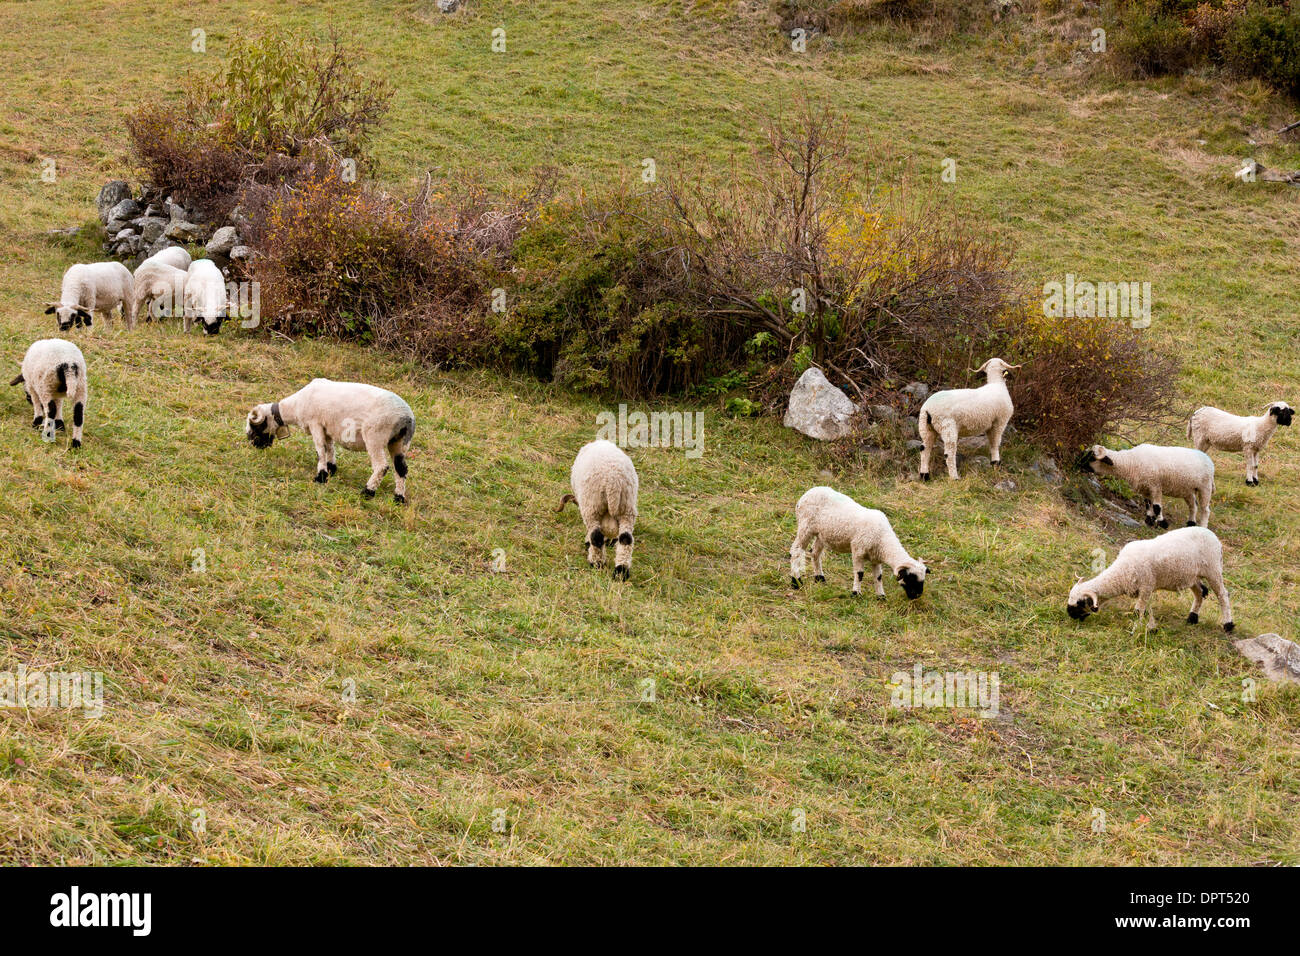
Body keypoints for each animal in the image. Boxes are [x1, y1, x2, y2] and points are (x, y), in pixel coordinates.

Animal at [245, 379, 416, 503]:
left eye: (255, 426)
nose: (254, 444)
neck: (295, 406)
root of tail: (406, 417)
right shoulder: (326, 428)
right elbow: (329, 448)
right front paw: (331, 468)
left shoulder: (315, 424)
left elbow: (320, 450)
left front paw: (321, 476)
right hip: (399, 442)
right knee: (401, 469)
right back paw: (398, 498)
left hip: (376, 436)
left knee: (381, 467)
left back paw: (367, 492)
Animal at [556, 439, 638, 581]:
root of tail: (613, 483)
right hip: (627, 508)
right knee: (626, 539)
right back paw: (621, 572)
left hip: (592, 506)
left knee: (596, 536)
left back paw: (597, 563)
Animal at [788, 486, 927, 599]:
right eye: (911, 578)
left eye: (922, 580)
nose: (917, 596)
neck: (883, 538)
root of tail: (805, 495)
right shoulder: (858, 550)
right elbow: (859, 574)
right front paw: (856, 593)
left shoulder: (875, 558)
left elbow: (878, 577)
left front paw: (881, 596)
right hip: (805, 526)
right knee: (796, 551)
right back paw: (796, 581)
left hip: (822, 534)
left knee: (815, 553)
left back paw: (820, 578)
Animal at [1067, 526, 1233, 632]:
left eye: (1080, 603)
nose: (1070, 615)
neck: (1122, 572)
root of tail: (1214, 537)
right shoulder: (1145, 589)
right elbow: (1146, 610)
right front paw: (1151, 628)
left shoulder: (1146, 585)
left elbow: (1138, 611)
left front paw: (1135, 630)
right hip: (1192, 575)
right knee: (1199, 593)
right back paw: (1192, 618)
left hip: (1213, 569)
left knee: (1222, 595)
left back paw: (1228, 625)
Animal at [1082, 443, 1215, 529]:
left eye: (1091, 458)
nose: (1078, 464)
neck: (1130, 462)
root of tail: (1208, 459)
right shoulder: (1145, 488)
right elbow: (1148, 504)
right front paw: (1149, 520)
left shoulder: (1155, 486)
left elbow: (1157, 506)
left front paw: (1161, 522)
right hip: (1187, 489)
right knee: (1193, 506)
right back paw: (1191, 523)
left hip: (1205, 487)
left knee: (1205, 509)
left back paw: (1202, 526)